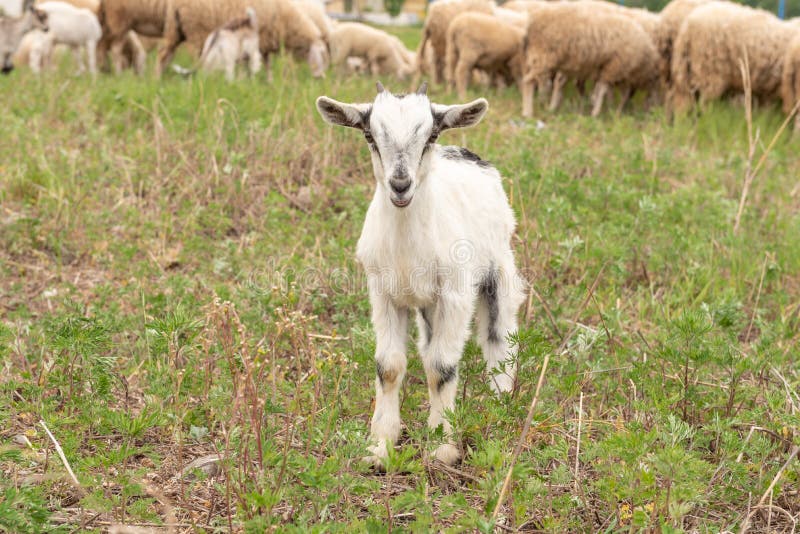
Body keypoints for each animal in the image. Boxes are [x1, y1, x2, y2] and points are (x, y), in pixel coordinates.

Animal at [315, 83, 525, 466]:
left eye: (430, 135)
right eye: (369, 135)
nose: (400, 184)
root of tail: (466, 152)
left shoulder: (456, 292)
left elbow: (442, 367)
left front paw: (443, 445)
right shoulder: (382, 292)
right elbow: (390, 366)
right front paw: (380, 445)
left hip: (498, 269)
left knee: (499, 339)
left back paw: (501, 404)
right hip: (426, 305)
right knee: (428, 347)